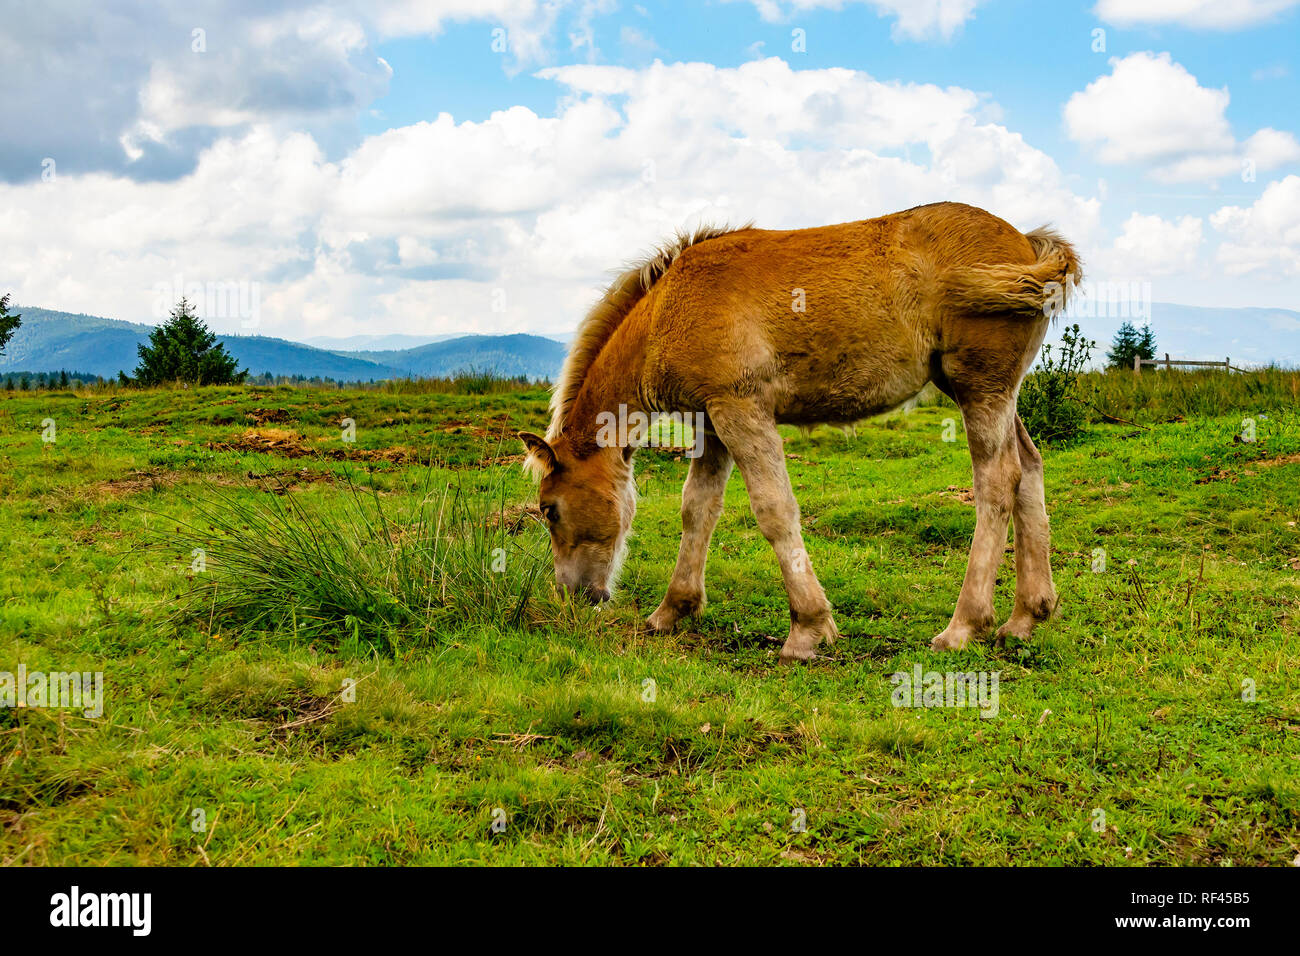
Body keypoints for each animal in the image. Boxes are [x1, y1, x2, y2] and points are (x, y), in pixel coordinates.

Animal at [519, 201, 1080, 663]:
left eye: (550, 510)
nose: (572, 595)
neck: (668, 309)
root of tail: (1027, 242)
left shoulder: (741, 411)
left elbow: (774, 511)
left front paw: (808, 630)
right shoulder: (711, 423)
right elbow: (697, 509)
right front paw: (672, 611)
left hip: (980, 387)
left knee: (998, 482)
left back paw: (964, 626)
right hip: (994, 391)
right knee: (1030, 469)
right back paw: (1026, 617)